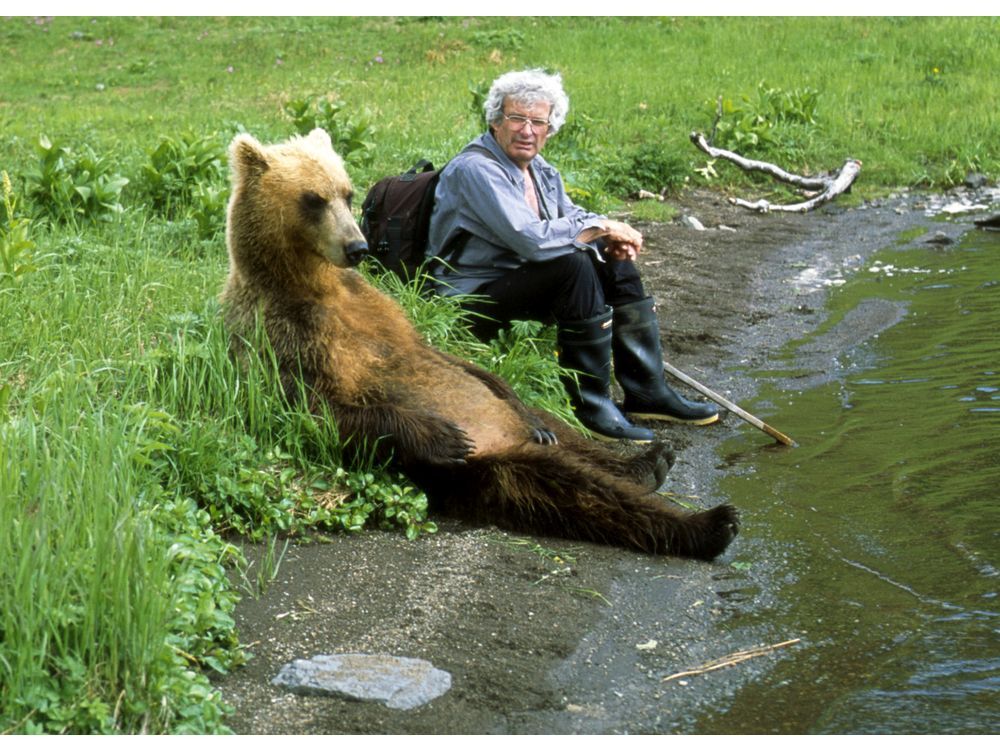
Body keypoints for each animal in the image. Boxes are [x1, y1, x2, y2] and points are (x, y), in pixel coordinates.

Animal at [220, 128, 739, 560]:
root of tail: (511, 443)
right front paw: (443, 435)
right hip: (492, 470)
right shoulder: (283, 334)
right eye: (313, 199)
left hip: (514, 428)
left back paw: (646, 461)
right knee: (576, 491)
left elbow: (439, 354)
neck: (312, 284)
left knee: (564, 429)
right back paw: (710, 523)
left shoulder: (379, 311)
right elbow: (313, 411)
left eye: (346, 193)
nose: (357, 247)